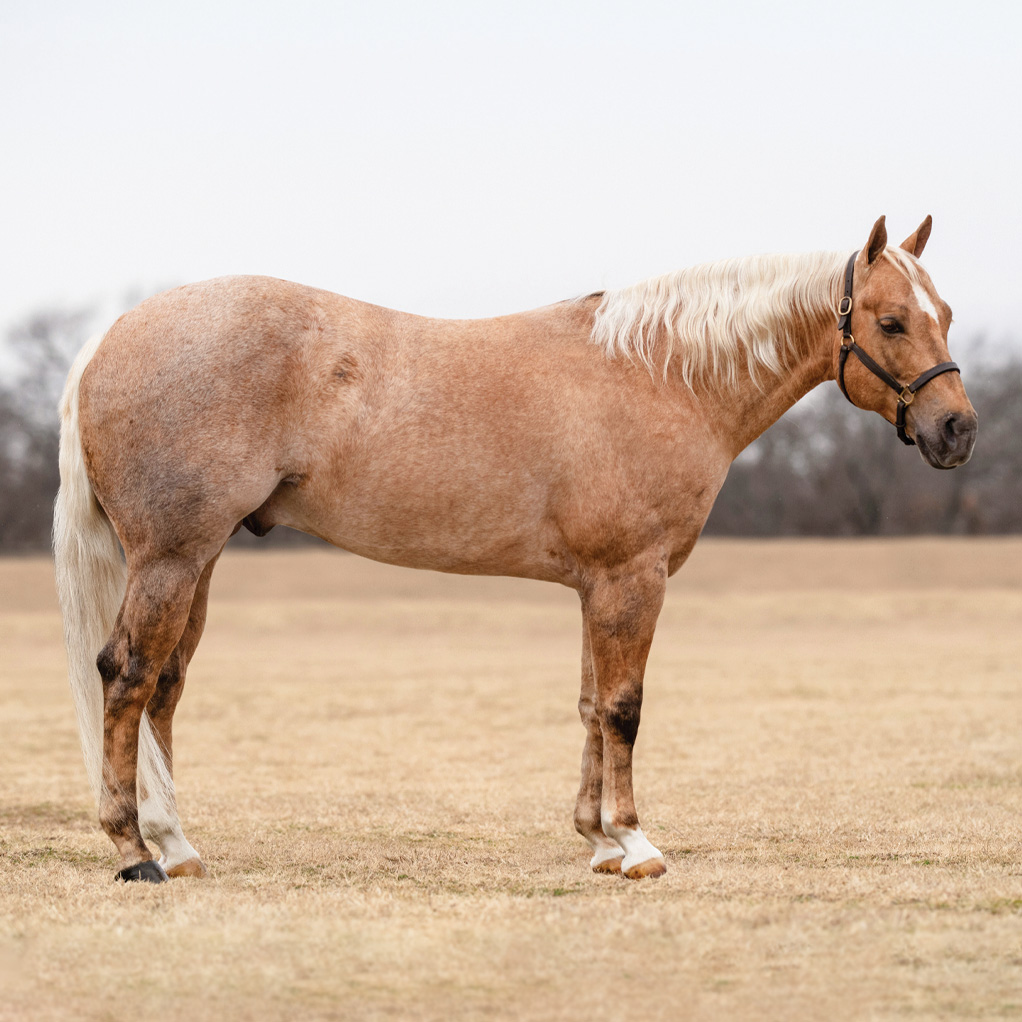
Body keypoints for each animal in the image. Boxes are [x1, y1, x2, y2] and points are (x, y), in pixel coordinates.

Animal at [53, 215, 977, 883]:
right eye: (891, 321)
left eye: (946, 315)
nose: (957, 431)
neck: (663, 375)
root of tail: (110, 339)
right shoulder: (633, 578)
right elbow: (625, 708)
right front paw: (636, 846)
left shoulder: (597, 586)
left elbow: (590, 704)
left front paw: (597, 842)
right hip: (171, 558)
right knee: (127, 676)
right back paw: (134, 850)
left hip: (198, 560)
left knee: (165, 688)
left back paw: (177, 844)